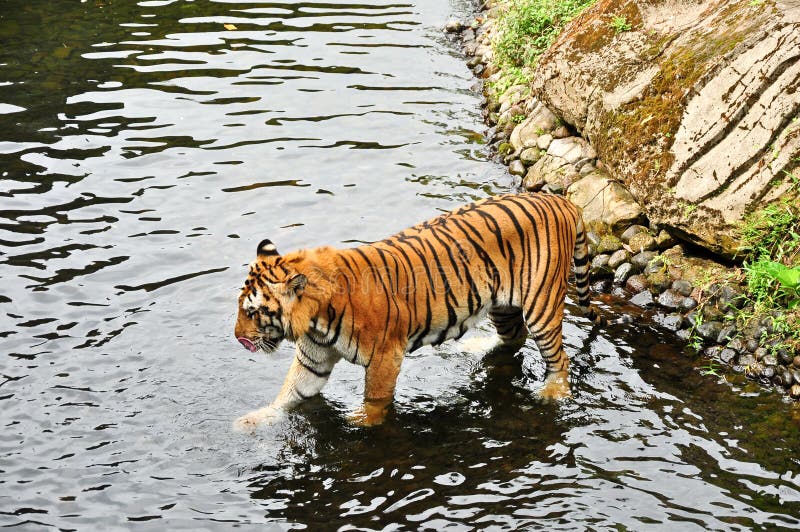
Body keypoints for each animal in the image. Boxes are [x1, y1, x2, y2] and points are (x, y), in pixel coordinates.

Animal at [233, 192, 599, 429]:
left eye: (252, 312)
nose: (237, 338)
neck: (315, 320)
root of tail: (562, 200)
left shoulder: (384, 356)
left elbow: (375, 398)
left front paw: (362, 421)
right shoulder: (314, 358)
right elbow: (289, 394)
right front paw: (253, 419)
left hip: (541, 304)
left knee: (559, 357)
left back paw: (553, 393)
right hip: (501, 304)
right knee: (513, 338)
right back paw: (477, 346)